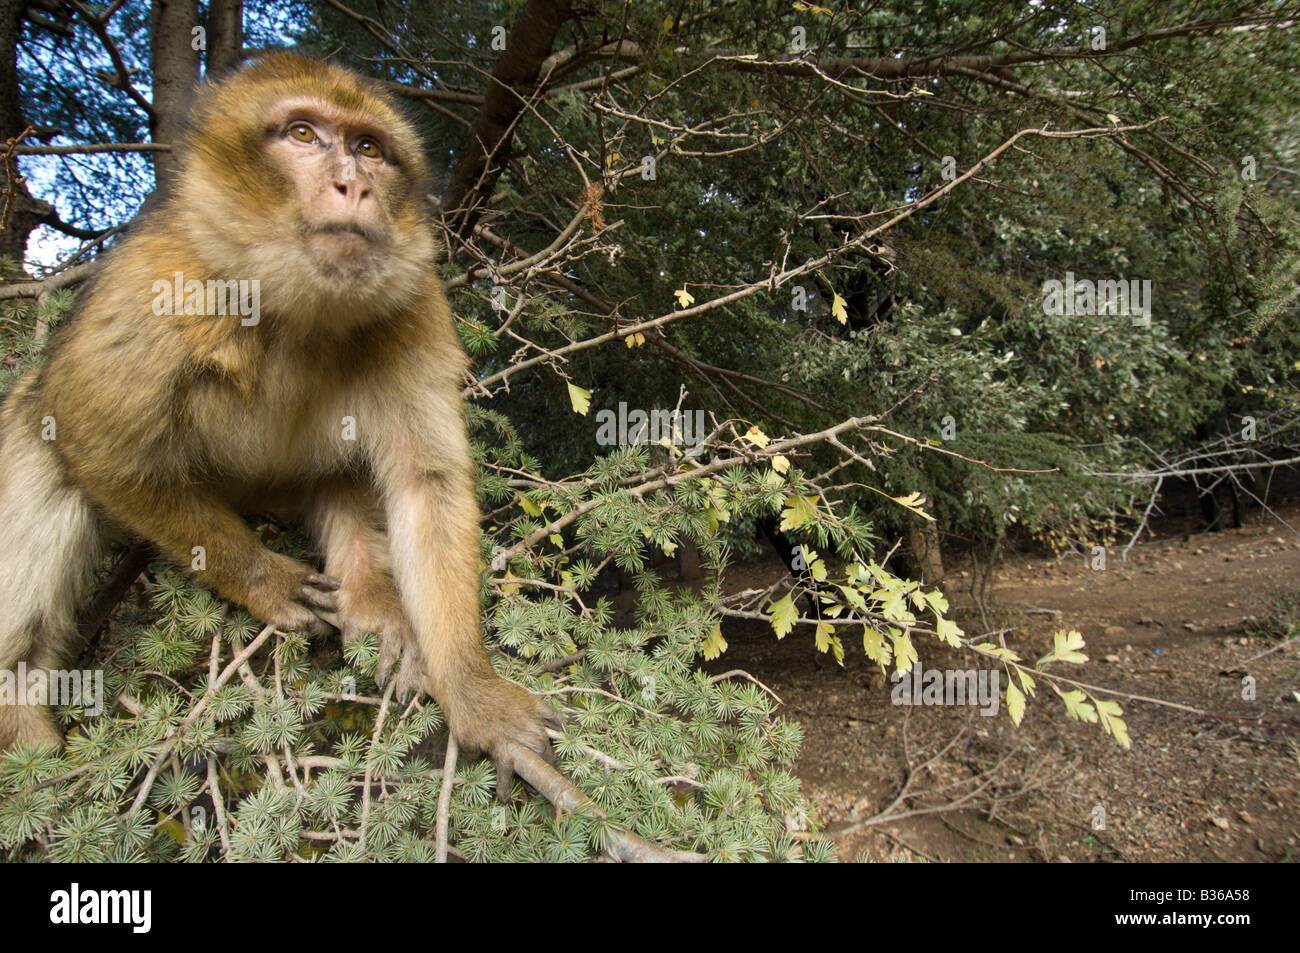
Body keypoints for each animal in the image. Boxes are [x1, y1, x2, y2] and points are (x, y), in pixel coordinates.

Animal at [0, 52, 556, 796]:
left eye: (369, 148)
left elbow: (425, 483)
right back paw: (25, 722)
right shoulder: (156, 279)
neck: (295, 301)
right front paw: (261, 577)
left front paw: (471, 686)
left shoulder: (414, 302)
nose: (354, 185)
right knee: (44, 455)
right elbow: (89, 436)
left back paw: (373, 596)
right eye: (302, 134)